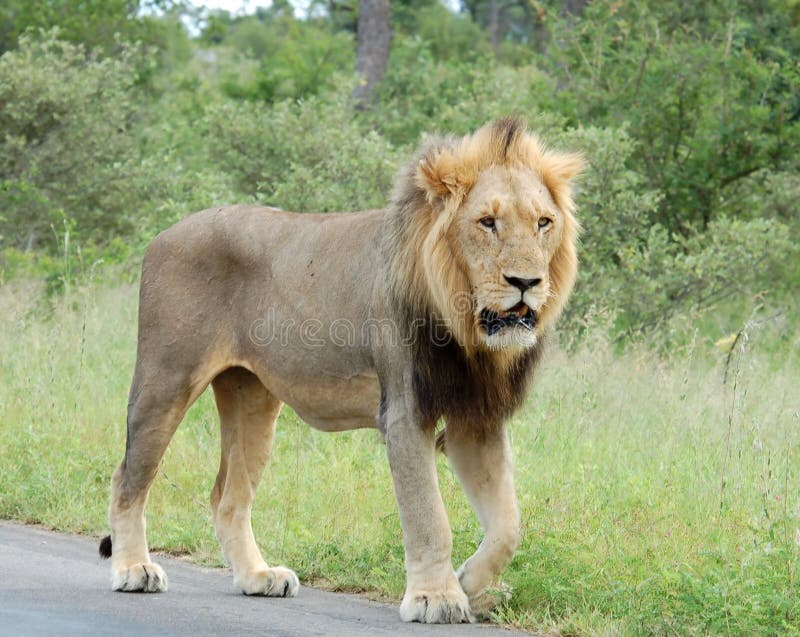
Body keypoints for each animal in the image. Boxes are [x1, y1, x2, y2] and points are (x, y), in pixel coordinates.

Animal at [99, 118, 583, 624]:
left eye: (543, 223)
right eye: (487, 222)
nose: (527, 283)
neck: (467, 329)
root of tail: (162, 235)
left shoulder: (476, 418)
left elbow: (509, 525)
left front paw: (472, 584)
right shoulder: (404, 413)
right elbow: (429, 517)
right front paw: (435, 597)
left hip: (251, 397)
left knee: (227, 497)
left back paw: (258, 577)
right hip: (166, 379)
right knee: (128, 478)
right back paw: (134, 569)